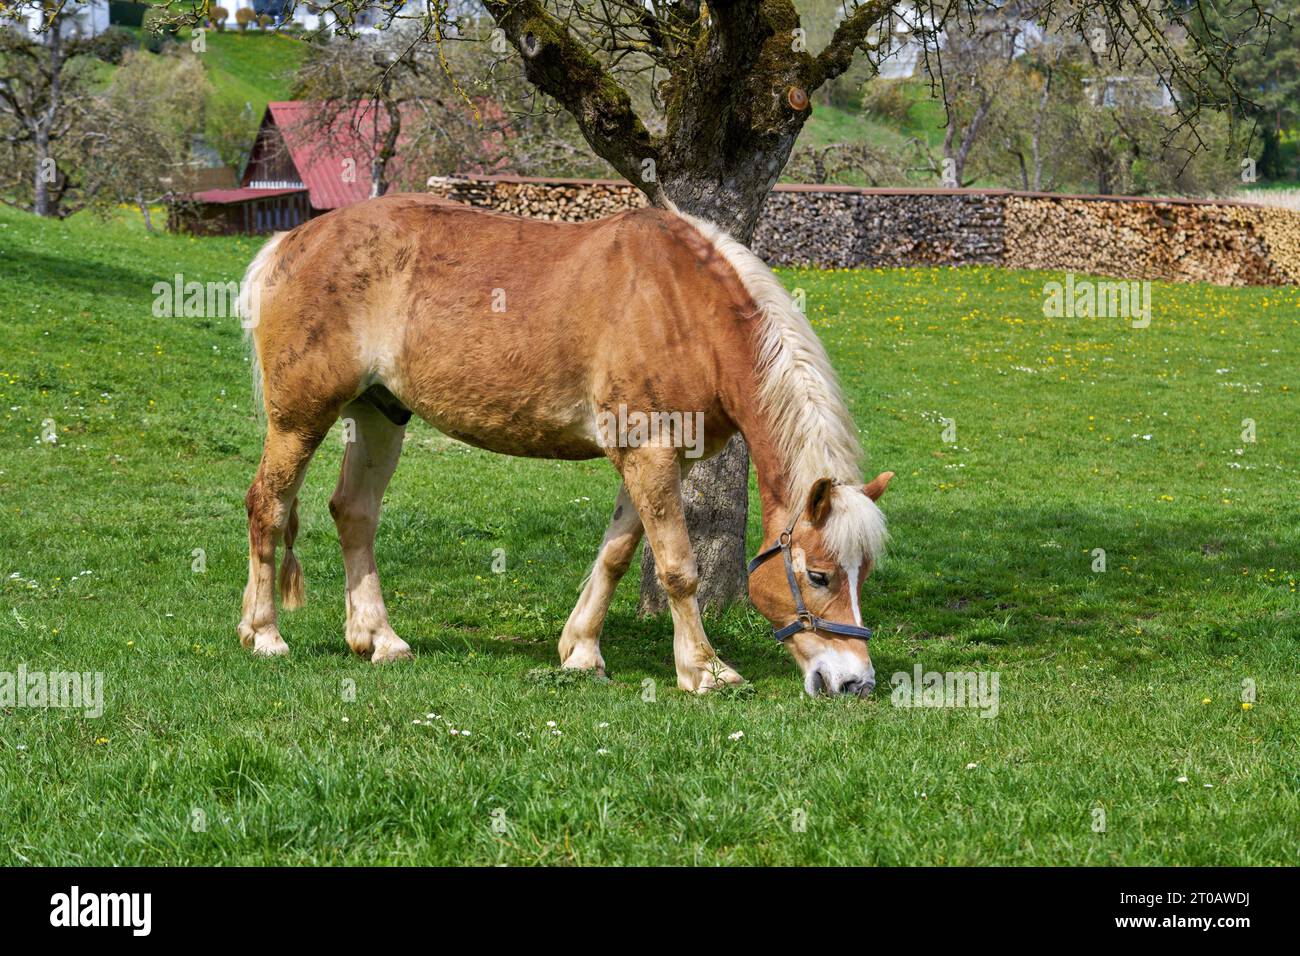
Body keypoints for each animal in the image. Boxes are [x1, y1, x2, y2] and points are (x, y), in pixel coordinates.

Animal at [237, 193, 893, 697]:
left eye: (863, 574)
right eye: (818, 576)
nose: (855, 682)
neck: (684, 308)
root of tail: (289, 243)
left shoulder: (660, 461)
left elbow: (617, 555)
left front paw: (580, 651)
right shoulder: (650, 453)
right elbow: (678, 568)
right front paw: (704, 670)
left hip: (378, 414)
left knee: (354, 514)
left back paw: (379, 639)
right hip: (299, 421)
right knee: (267, 505)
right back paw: (264, 634)